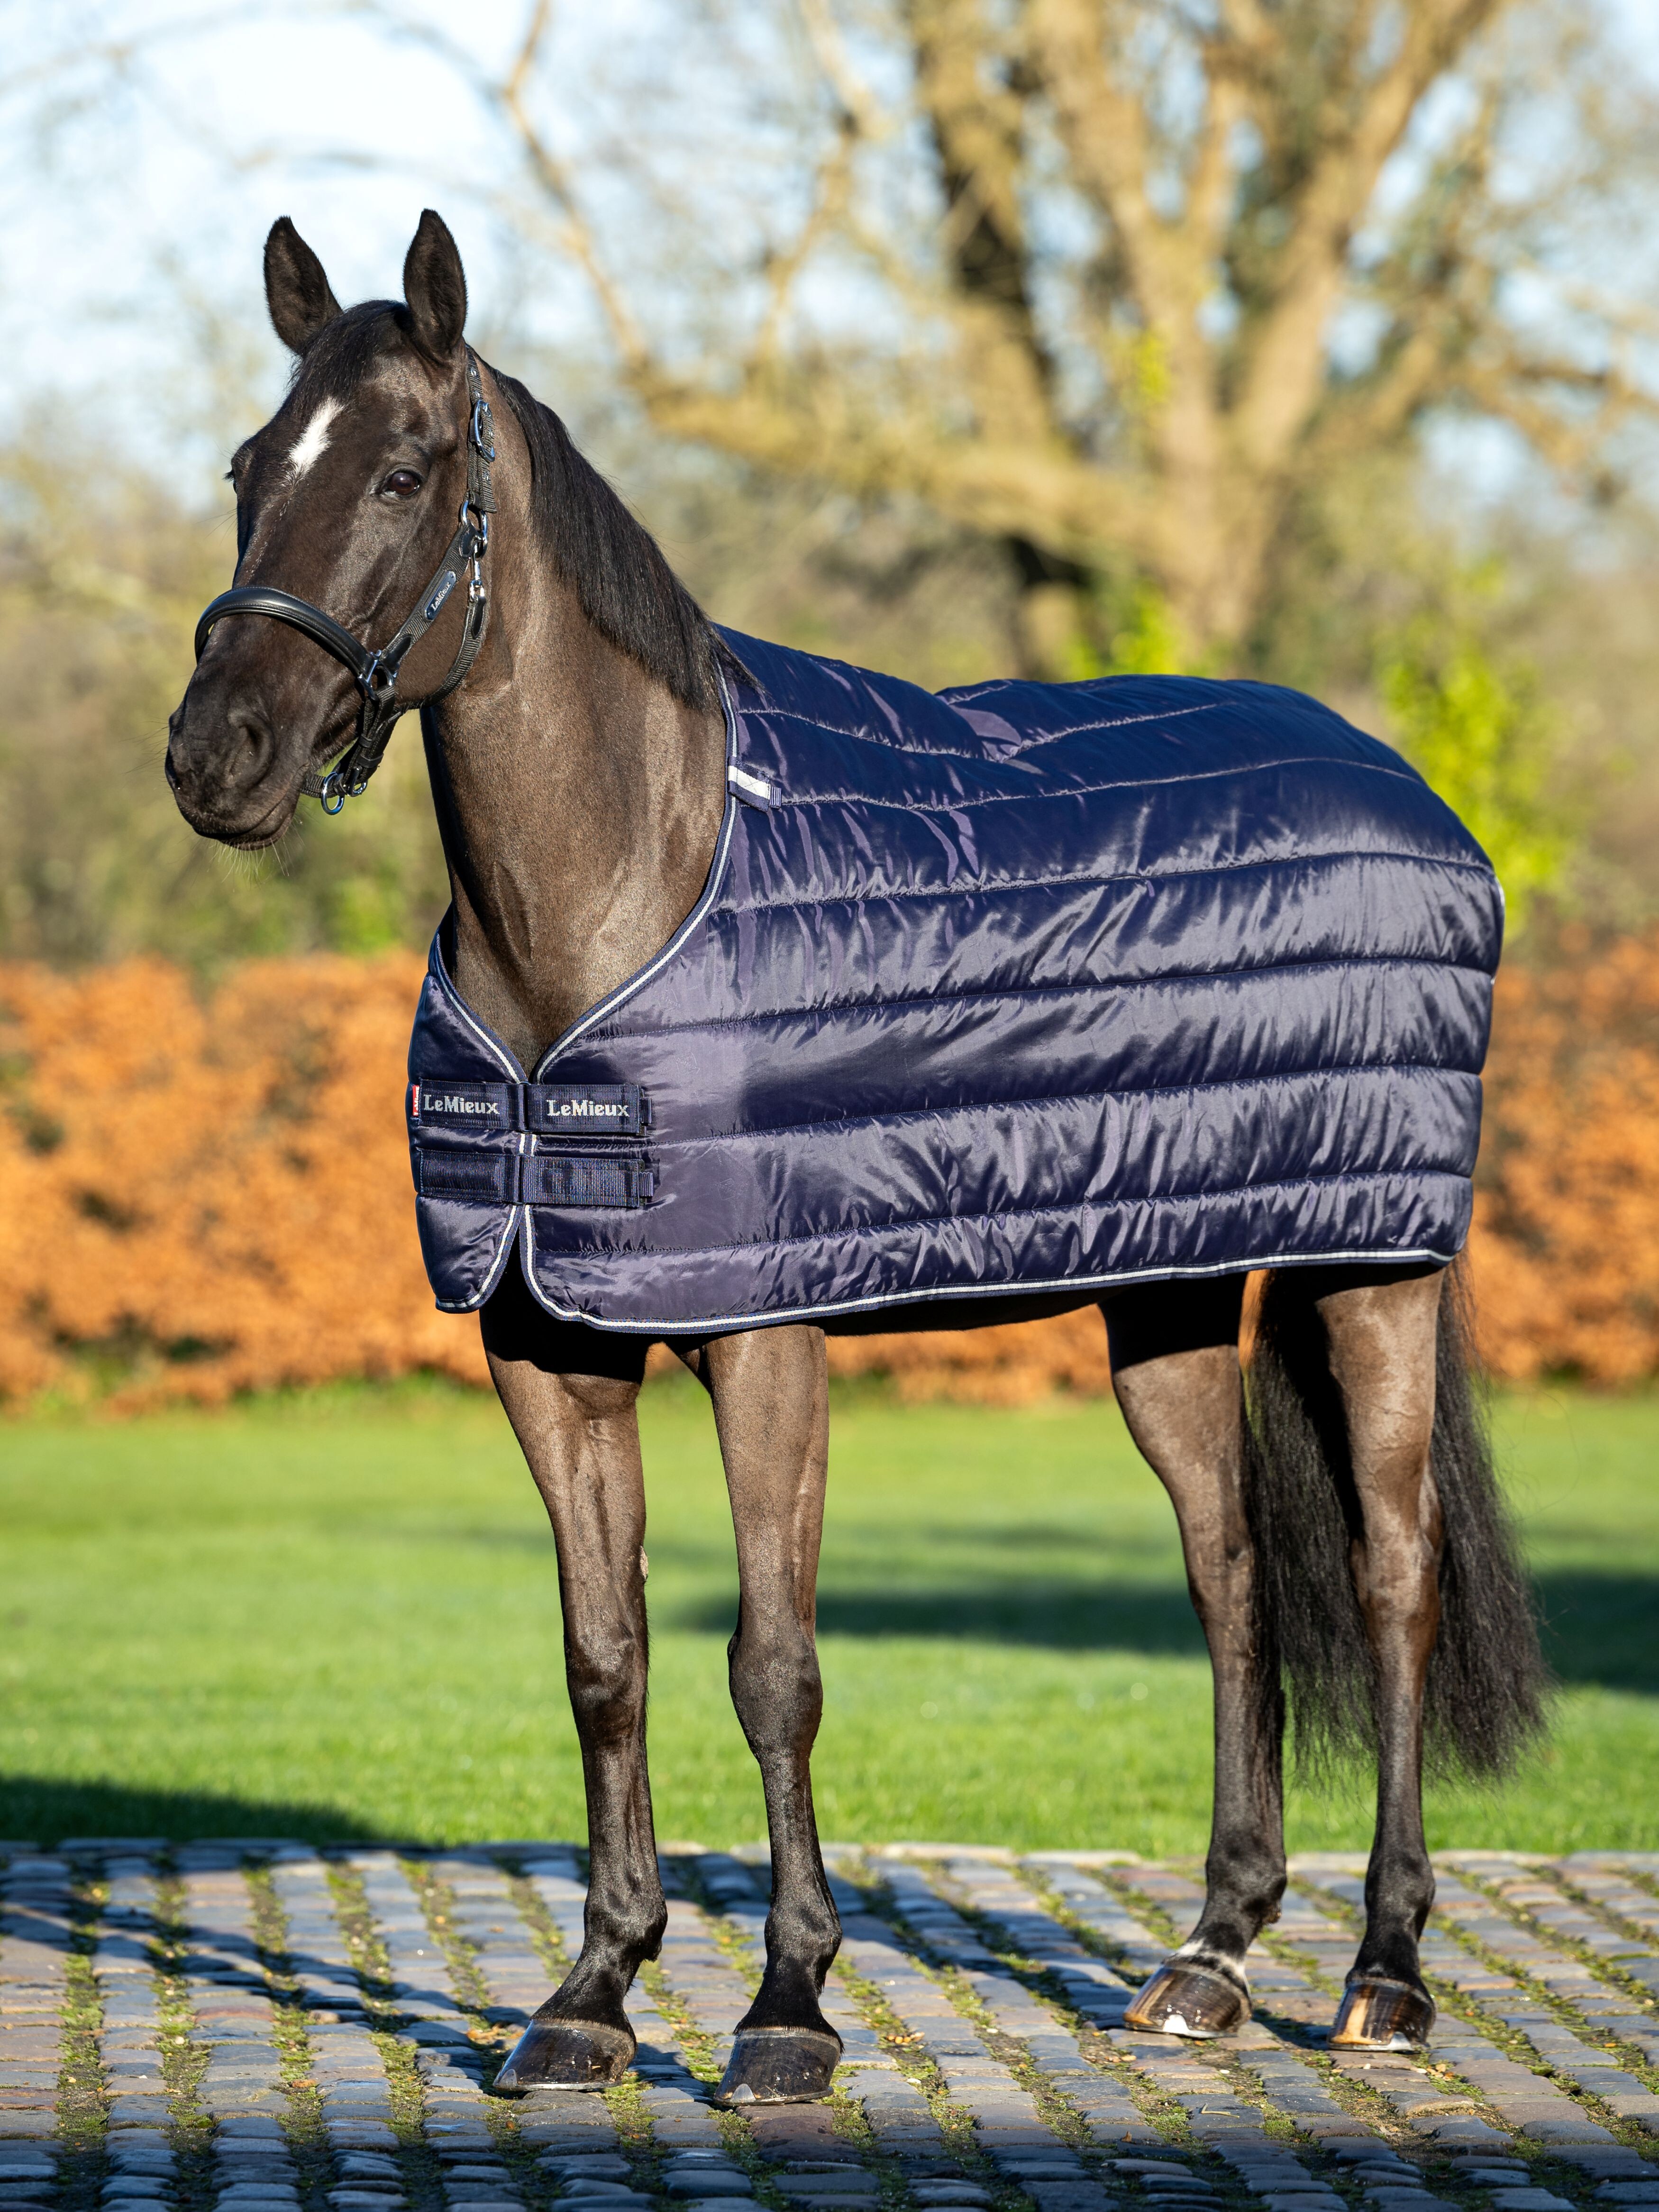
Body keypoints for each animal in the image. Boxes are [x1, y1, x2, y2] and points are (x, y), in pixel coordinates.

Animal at [167, 210, 1546, 2106]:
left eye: (398, 470)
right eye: (247, 469)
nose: (211, 755)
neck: (636, 879)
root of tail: (1408, 791)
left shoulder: (766, 1337)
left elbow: (773, 1664)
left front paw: (784, 2009)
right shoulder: (544, 1344)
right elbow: (604, 1658)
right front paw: (591, 1993)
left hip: (1370, 1267)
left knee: (1390, 1576)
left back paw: (1387, 1976)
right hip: (1170, 1296)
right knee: (1231, 1576)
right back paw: (1206, 1960)